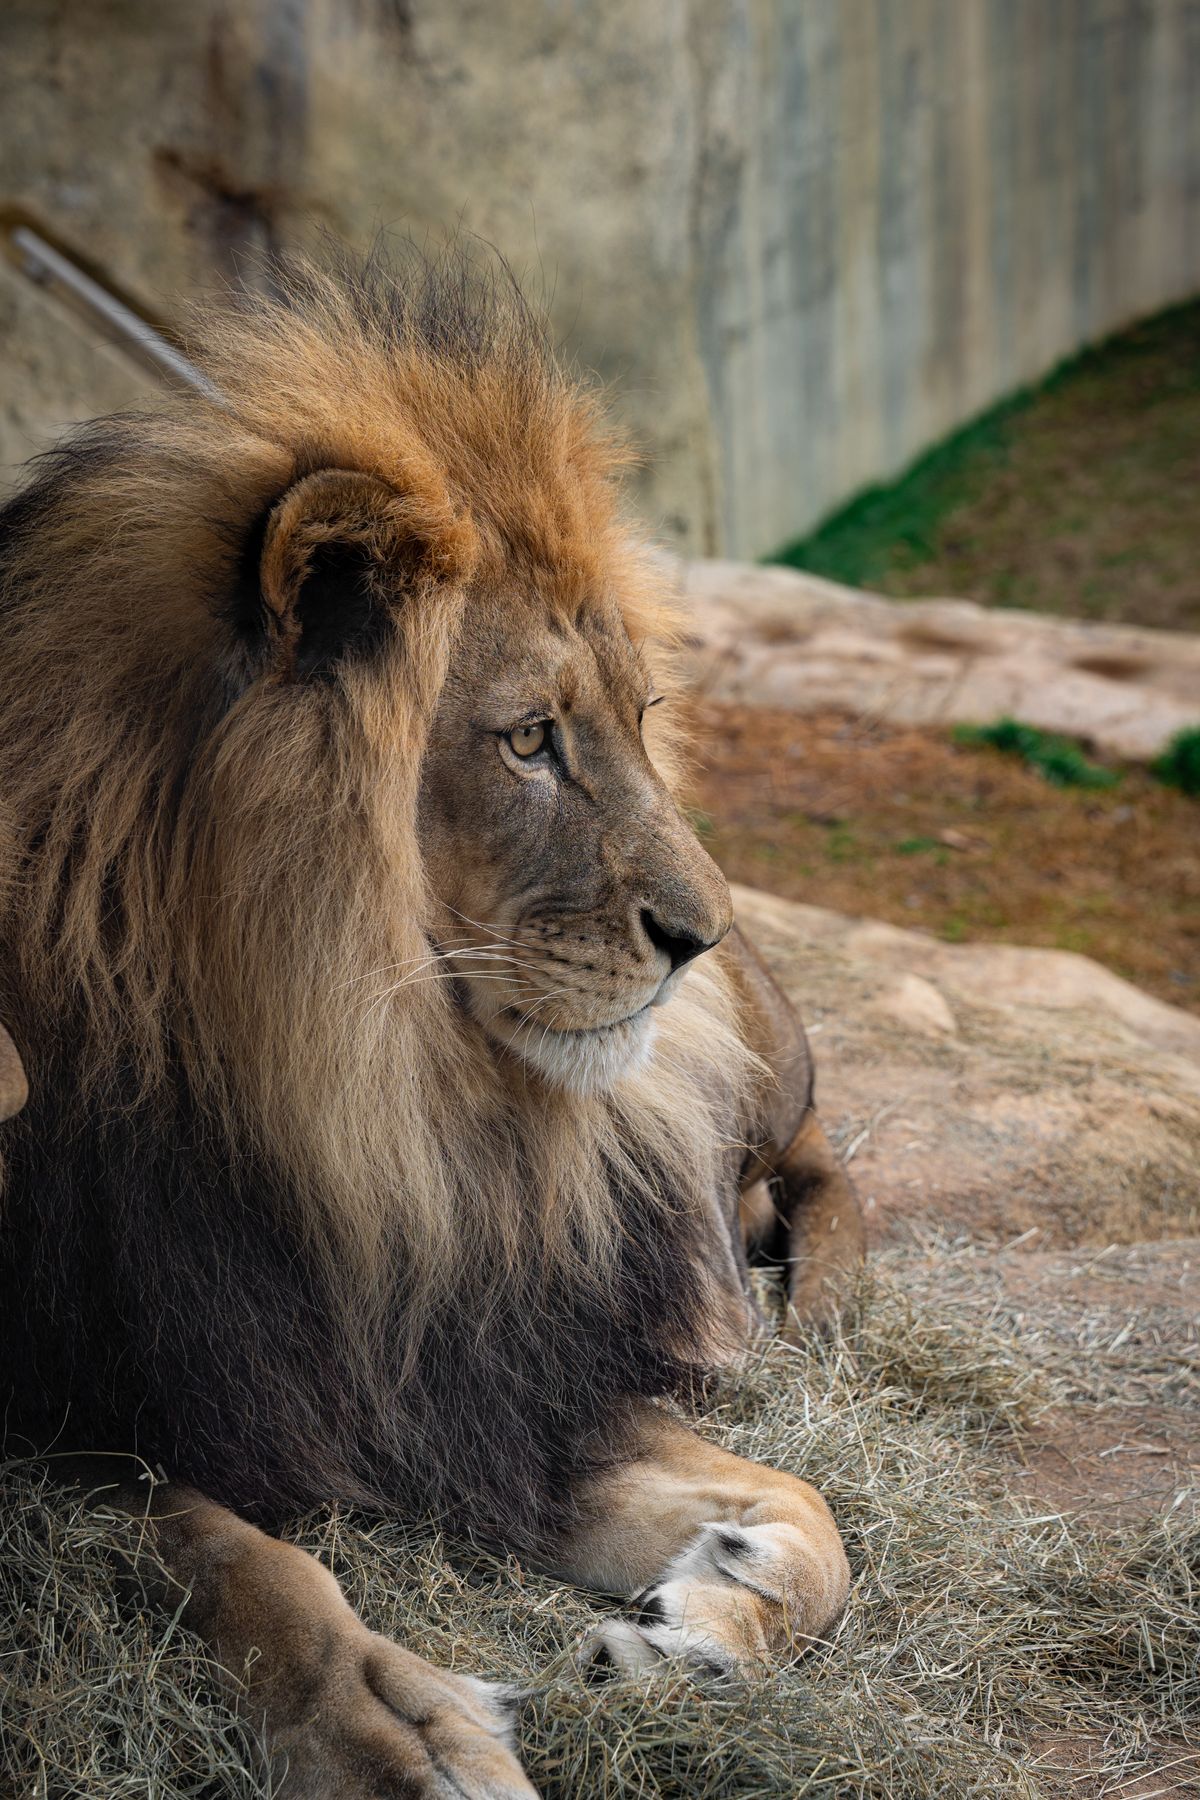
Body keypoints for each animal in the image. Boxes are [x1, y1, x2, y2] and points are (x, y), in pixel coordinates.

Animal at [0, 247, 864, 1797]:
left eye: (642, 718)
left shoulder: (469, 1362)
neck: (372, 1101)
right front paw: (405, 1732)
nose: (699, 937)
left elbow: (811, 1515)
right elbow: (255, 1570)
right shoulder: (88, 1411)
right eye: (528, 740)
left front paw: (711, 1615)